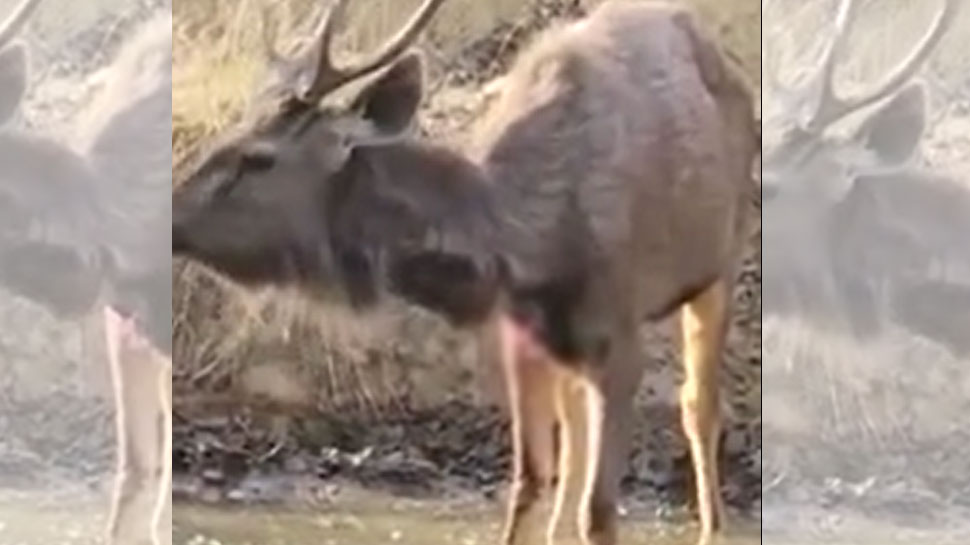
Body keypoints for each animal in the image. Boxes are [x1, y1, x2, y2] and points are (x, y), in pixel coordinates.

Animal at [172, 1, 759, 544]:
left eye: (258, 158)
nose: (172, 214)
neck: (529, 243)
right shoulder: (521, 336)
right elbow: (528, 482)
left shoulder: (620, 337)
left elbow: (599, 512)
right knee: (573, 439)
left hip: (722, 258)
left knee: (697, 405)